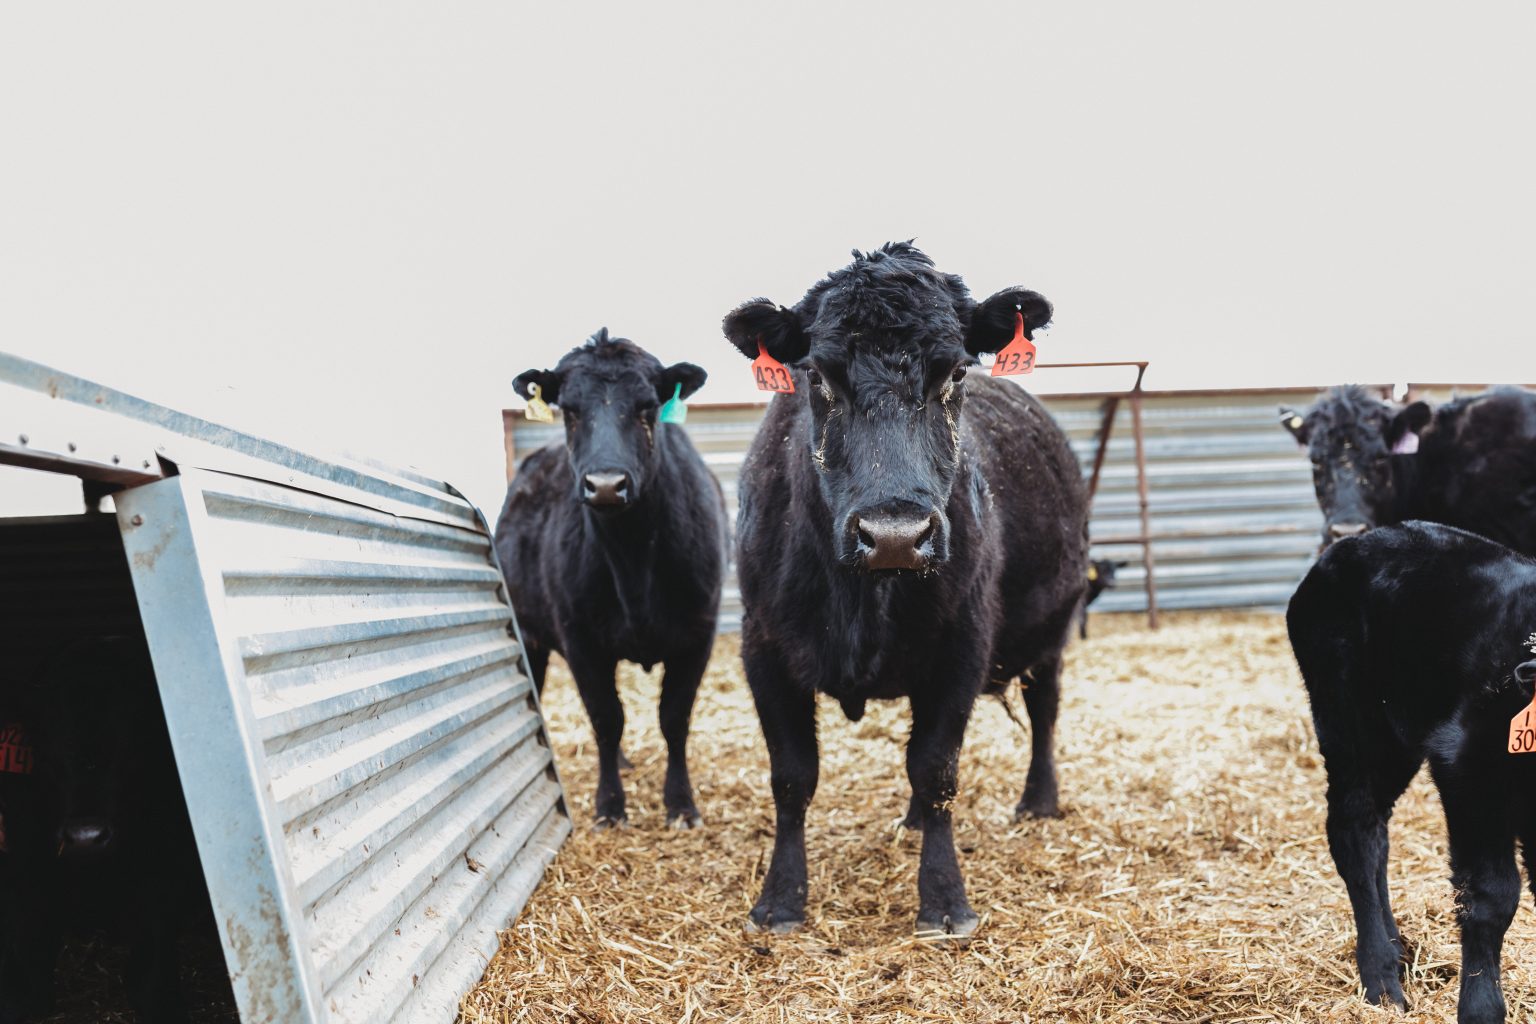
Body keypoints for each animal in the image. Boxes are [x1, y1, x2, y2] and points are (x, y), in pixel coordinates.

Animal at [0, 635, 205, 1024]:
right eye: (45, 754)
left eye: (132, 749)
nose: (86, 837)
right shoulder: (24, 879)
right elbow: (26, 996)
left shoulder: (166, 874)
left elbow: (151, 986)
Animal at [494, 329, 728, 829]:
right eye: (570, 410)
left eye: (647, 407)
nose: (605, 484)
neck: (632, 561)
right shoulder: (582, 640)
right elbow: (606, 717)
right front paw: (610, 805)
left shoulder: (698, 634)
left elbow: (674, 718)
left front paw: (681, 804)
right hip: (532, 635)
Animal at [722, 242, 1089, 938]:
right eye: (819, 376)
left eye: (956, 374)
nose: (895, 535)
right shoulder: (764, 649)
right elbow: (792, 775)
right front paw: (781, 899)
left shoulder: (964, 647)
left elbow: (937, 766)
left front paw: (944, 900)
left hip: (1054, 625)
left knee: (1045, 707)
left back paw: (1039, 801)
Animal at [1288, 520, 1536, 1022]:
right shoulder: (1466, 766)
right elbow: (1492, 894)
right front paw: (1480, 1008)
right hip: (1350, 720)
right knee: (1354, 830)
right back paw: (1382, 977)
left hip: (1396, 742)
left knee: (1377, 833)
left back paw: (1395, 948)